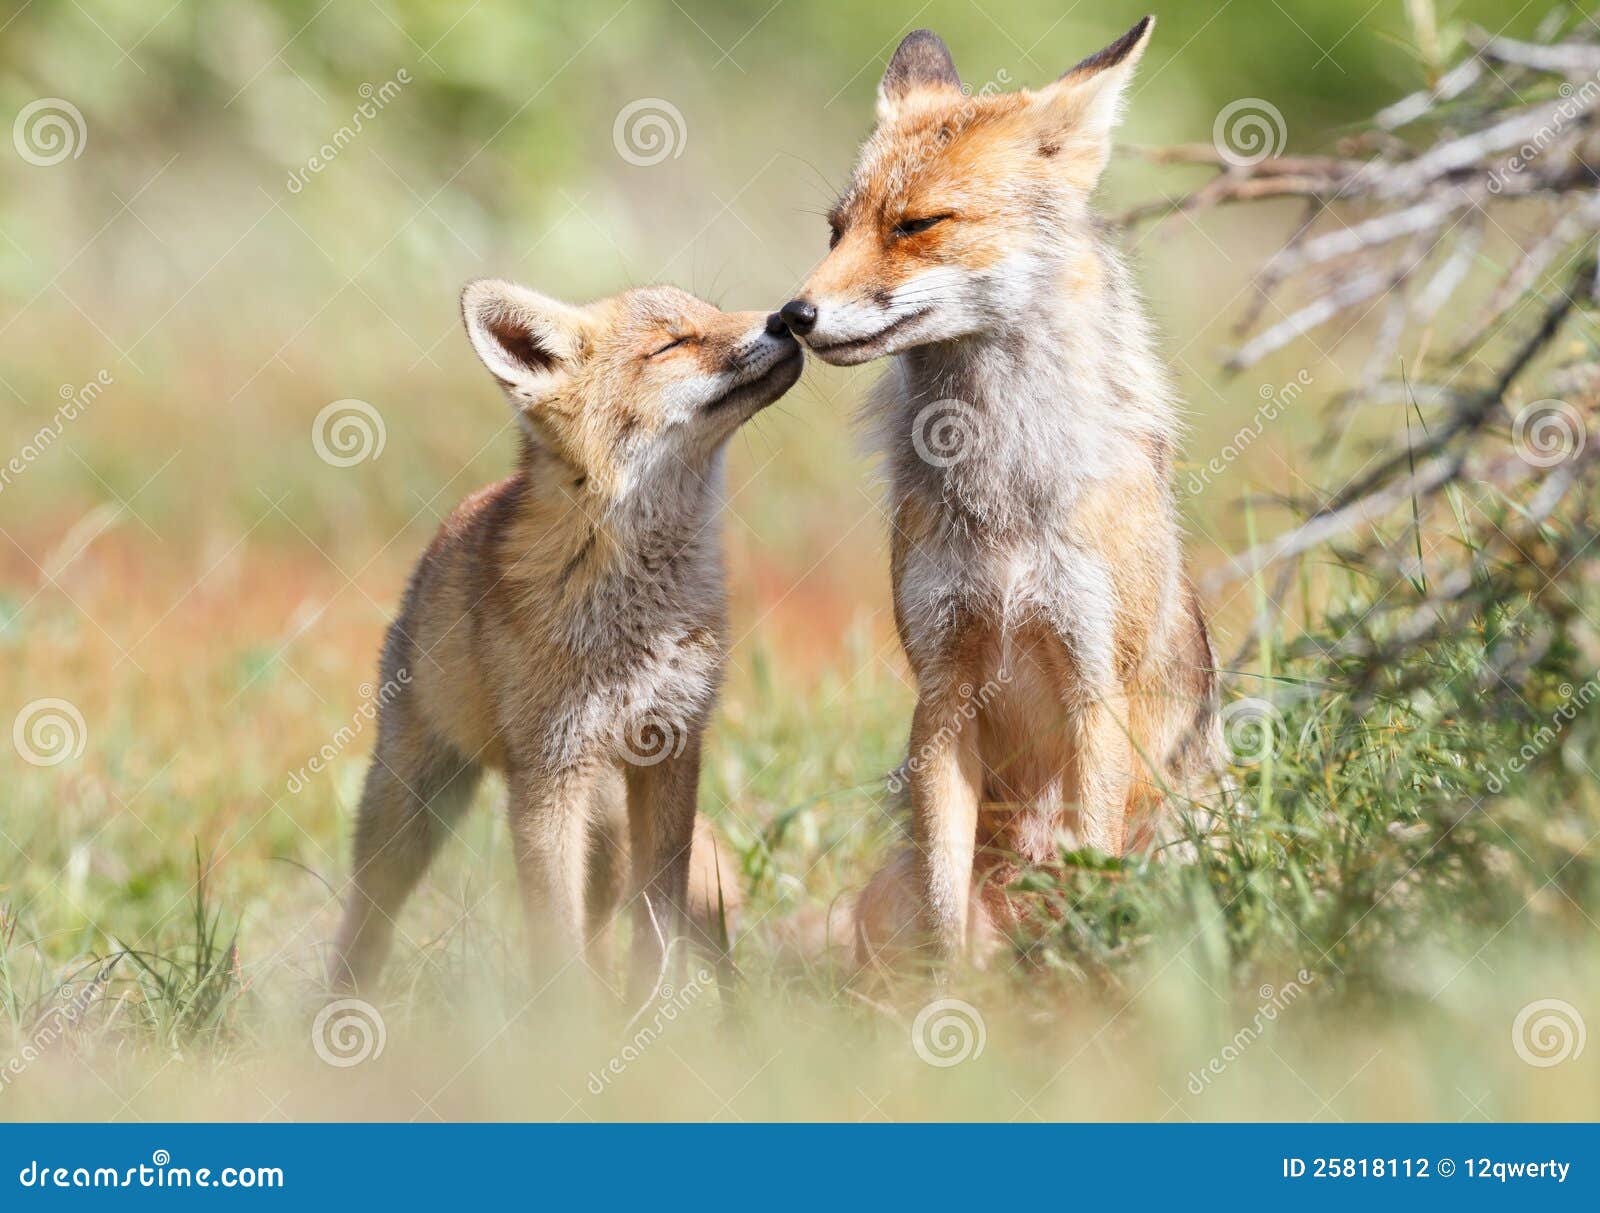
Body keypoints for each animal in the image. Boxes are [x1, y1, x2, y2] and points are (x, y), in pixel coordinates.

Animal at [329, 279, 801, 1000]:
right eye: (672, 344)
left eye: (715, 314)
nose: (788, 317)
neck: (639, 612)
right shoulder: (550, 774)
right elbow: (554, 940)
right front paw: (569, 1025)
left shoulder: (673, 744)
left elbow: (654, 921)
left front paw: (650, 1011)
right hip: (412, 805)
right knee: (368, 914)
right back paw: (341, 1006)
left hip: (613, 829)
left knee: (655, 931)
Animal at [777, 18, 1221, 966]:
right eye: (835, 230)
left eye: (917, 224)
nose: (790, 318)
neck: (1005, 494)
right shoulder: (943, 689)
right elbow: (949, 919)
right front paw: (955, 1006)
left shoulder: (1095, 687)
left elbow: (1091, 868)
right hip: (888, 900)